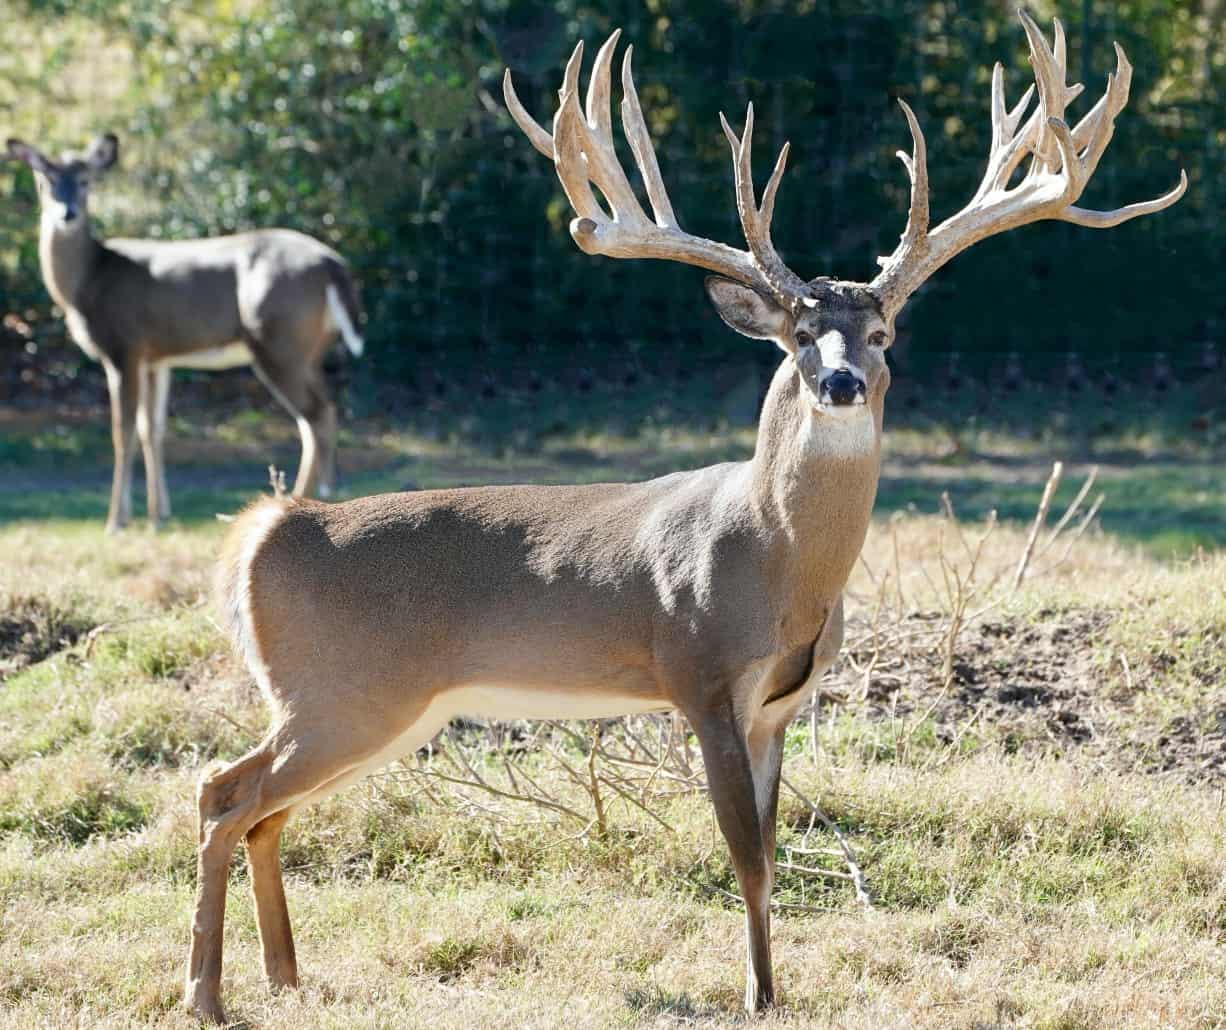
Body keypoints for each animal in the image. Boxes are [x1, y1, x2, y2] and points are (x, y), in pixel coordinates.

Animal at [5, 133, 365, 532]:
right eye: (46, 179)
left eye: (85, 181)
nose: (66, 213)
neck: (89, 280)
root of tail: (333, 264)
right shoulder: (156, 358)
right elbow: (152, 429)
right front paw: (158, 515)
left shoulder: (123, 348)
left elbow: (122, 431)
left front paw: (117, 521)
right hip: (308, 348)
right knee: (327, 408)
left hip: (276, 340)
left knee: (314, 416)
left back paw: (294, 503)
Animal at [184, 12, 1184, 1021]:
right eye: (796, 334)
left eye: (882, 332)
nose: (841, 382)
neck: (779, 563)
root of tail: (262, 533)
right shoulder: (700, 675)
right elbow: (745, 852)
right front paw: (759, 996)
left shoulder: (782, 704)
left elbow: (772, 846)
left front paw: (770, 985)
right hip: (342, 690)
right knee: (222, 792)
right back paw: (206, 994)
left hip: (377, 706)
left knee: (259, 807)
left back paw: (286, 977)